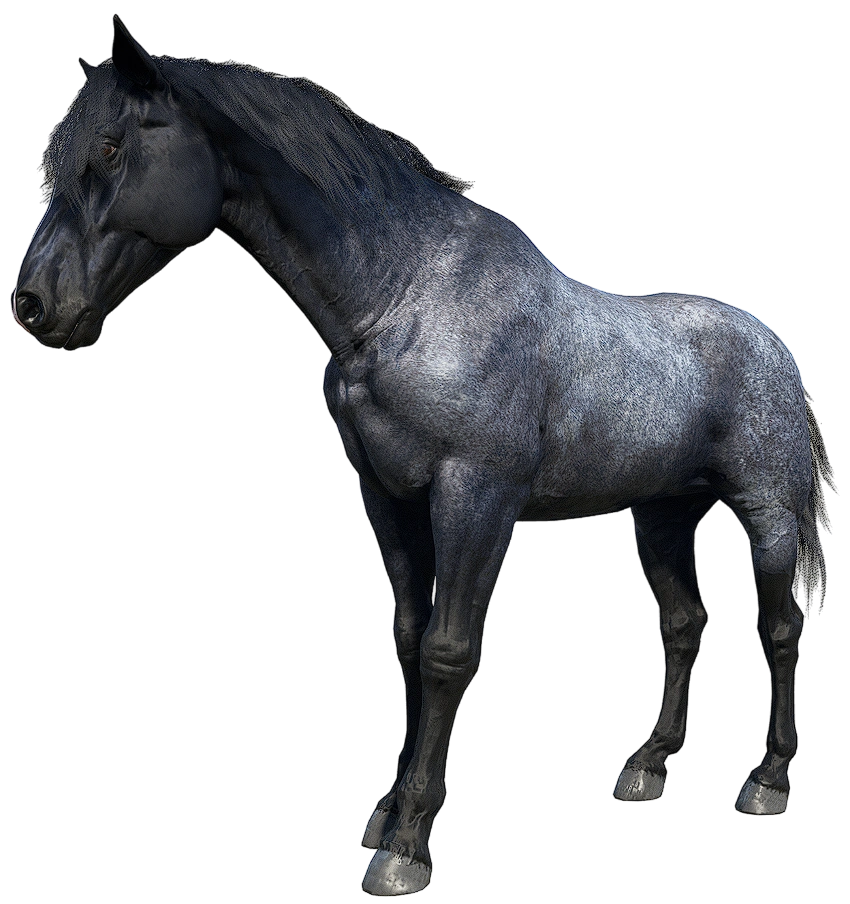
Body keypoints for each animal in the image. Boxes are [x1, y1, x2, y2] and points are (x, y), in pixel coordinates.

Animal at [13, 15, 835, 893]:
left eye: (109, 146)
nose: (32, 304)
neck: (405, 298)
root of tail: (773, 346)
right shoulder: (387, 493)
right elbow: (409, 640)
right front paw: (385, 811)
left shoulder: (475, 492)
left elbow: (447, 652)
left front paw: (405, 846)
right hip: (663, 517)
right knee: (685, 625)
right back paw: (647, 769)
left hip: (764, 513)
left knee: (780, 627)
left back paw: (767, 780)